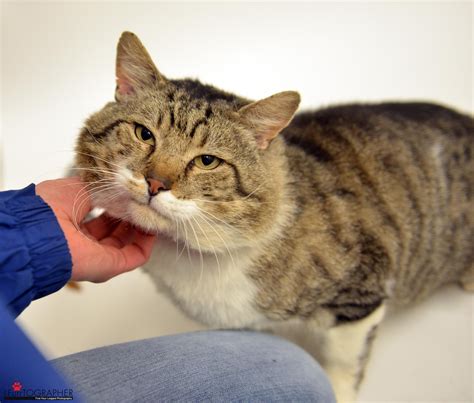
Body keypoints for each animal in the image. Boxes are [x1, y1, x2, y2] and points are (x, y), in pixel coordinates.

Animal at [74, 31, 474, 400]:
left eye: (207, 161)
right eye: (144, 134)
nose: (155, 183)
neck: (191, 250)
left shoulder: (364, 293)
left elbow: (344, 362)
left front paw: (338, 389)